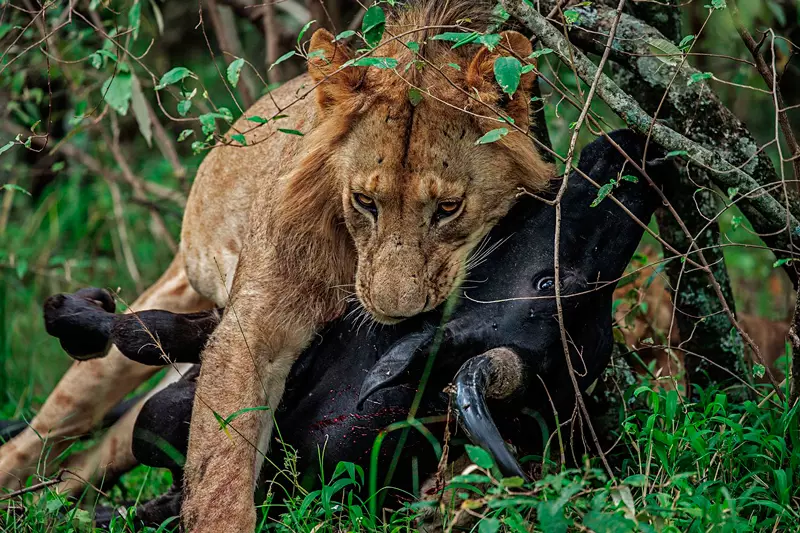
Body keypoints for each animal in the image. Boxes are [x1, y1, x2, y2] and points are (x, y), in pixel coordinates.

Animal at [0, 2, 552, 528]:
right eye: (365, 201)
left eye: (448, 208)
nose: (395, 312)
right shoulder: (252, 331)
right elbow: (220, 471)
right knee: (41, 436)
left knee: (89, 461)